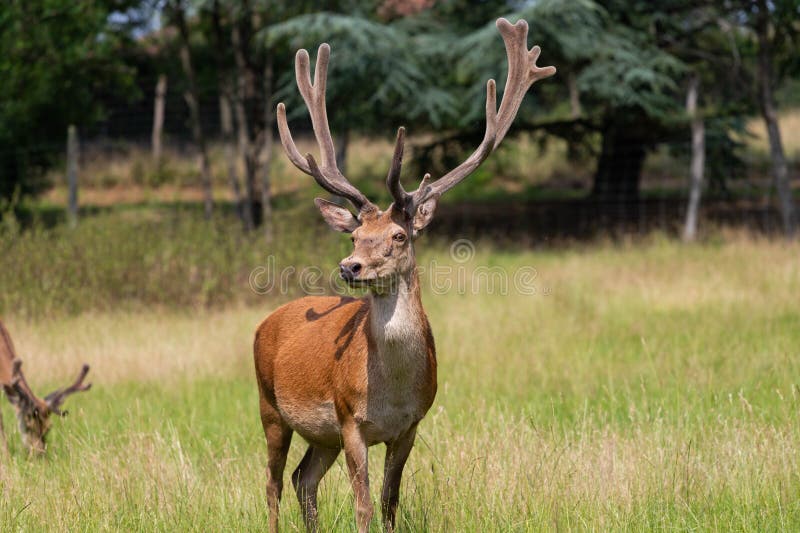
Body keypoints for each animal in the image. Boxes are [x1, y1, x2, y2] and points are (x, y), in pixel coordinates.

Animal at [253, 18, 555, 533]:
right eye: (356, 236)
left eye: (398, 235)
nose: (349, 266)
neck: (390, 391)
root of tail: (264, 323)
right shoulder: (349, 419)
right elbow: (363, 504)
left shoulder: (411, 425)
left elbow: (390, 501)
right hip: (270, 405)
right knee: (272, 483)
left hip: (320, 435)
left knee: (302, 480)